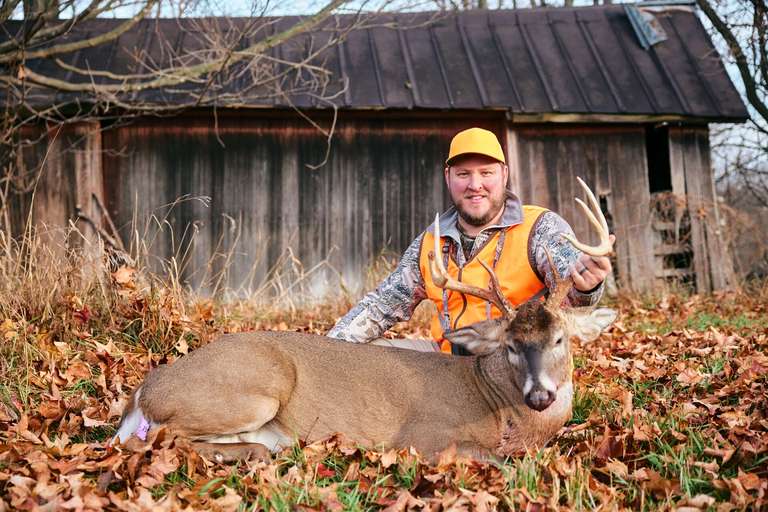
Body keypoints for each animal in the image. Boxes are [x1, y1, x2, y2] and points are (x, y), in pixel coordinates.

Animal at [112, 178, 616, 462]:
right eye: (510, 345)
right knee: (154, 439)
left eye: (560, 340)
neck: (502, 411)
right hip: (250, 390)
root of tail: (143, 390)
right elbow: (496, 462)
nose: (540, 395)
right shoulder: (422, 435)